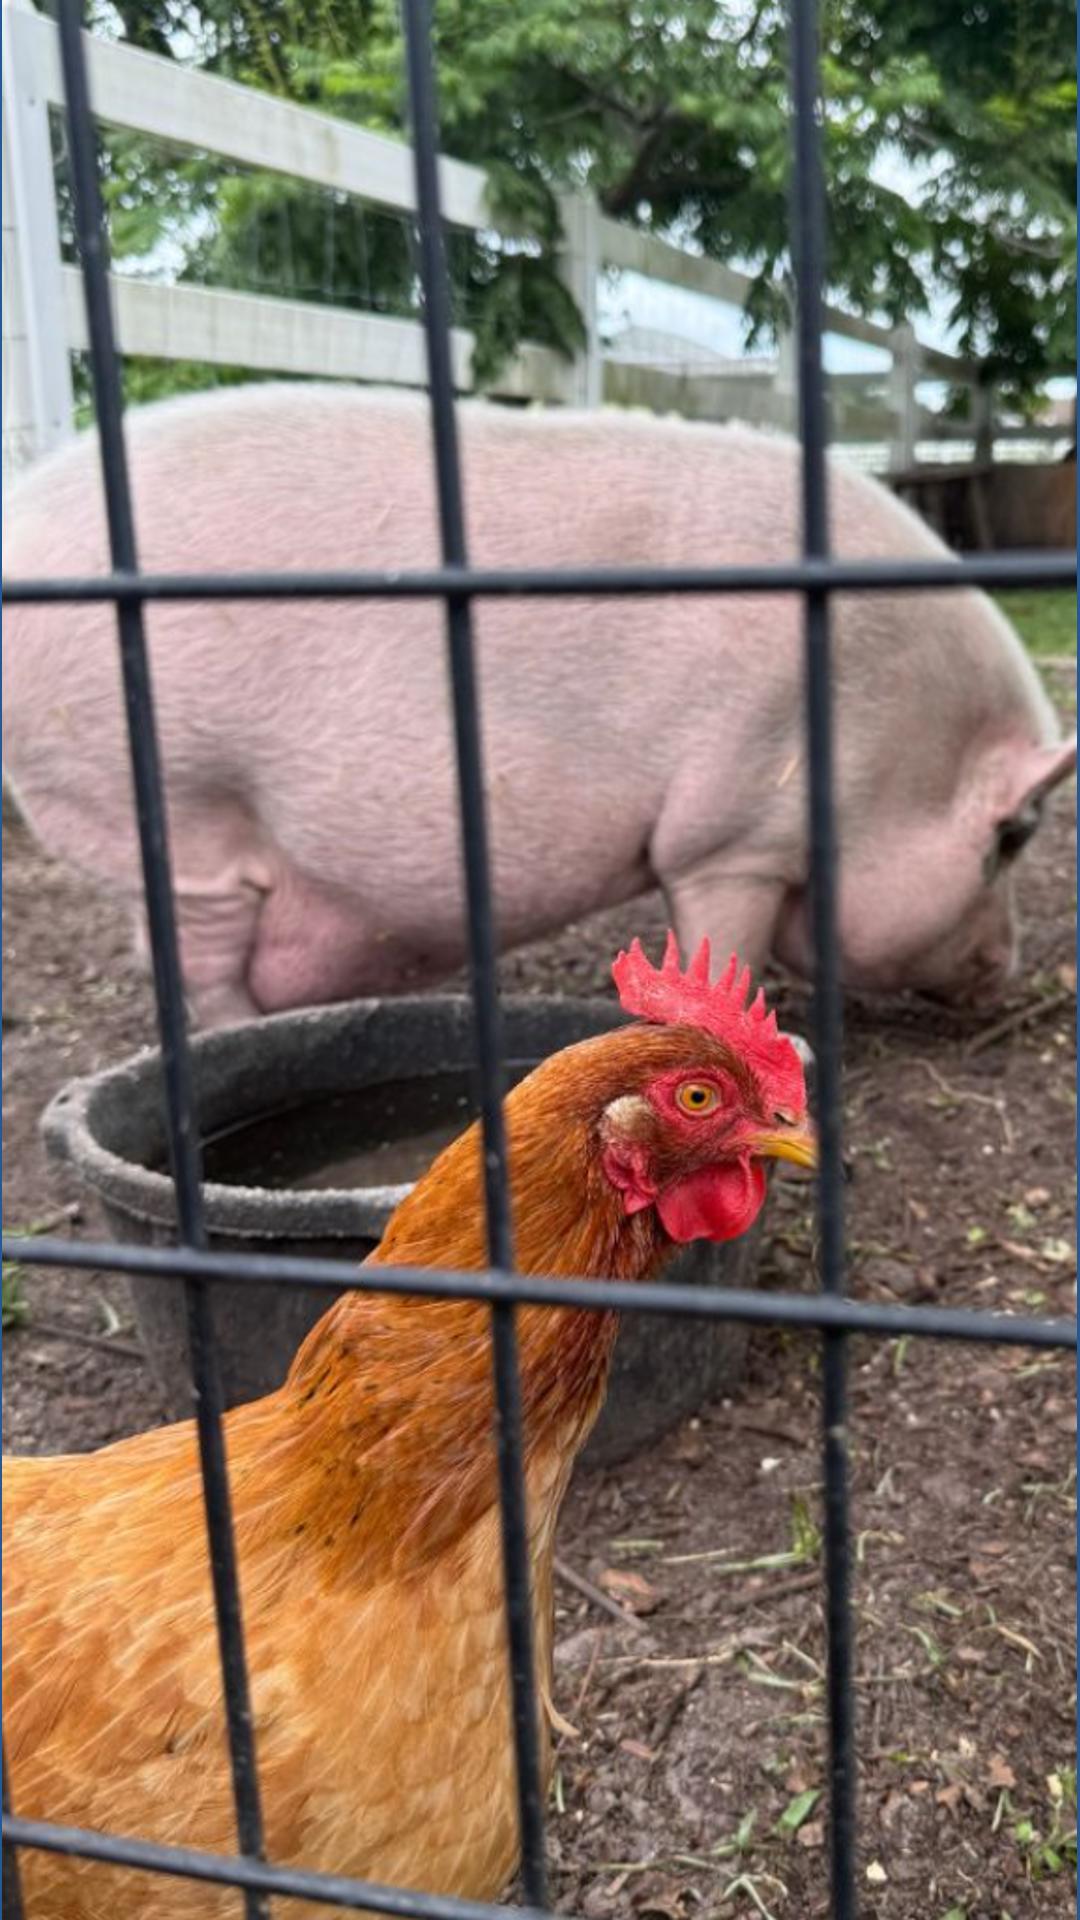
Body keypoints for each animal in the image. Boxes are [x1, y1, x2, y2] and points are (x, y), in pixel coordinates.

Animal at [3, 383, 1074, 1027]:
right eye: (1015, 835)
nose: (1009, 968)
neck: (889, 743)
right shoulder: (736, 830)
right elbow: (723, 938)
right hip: (167, 803)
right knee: (205, 965)